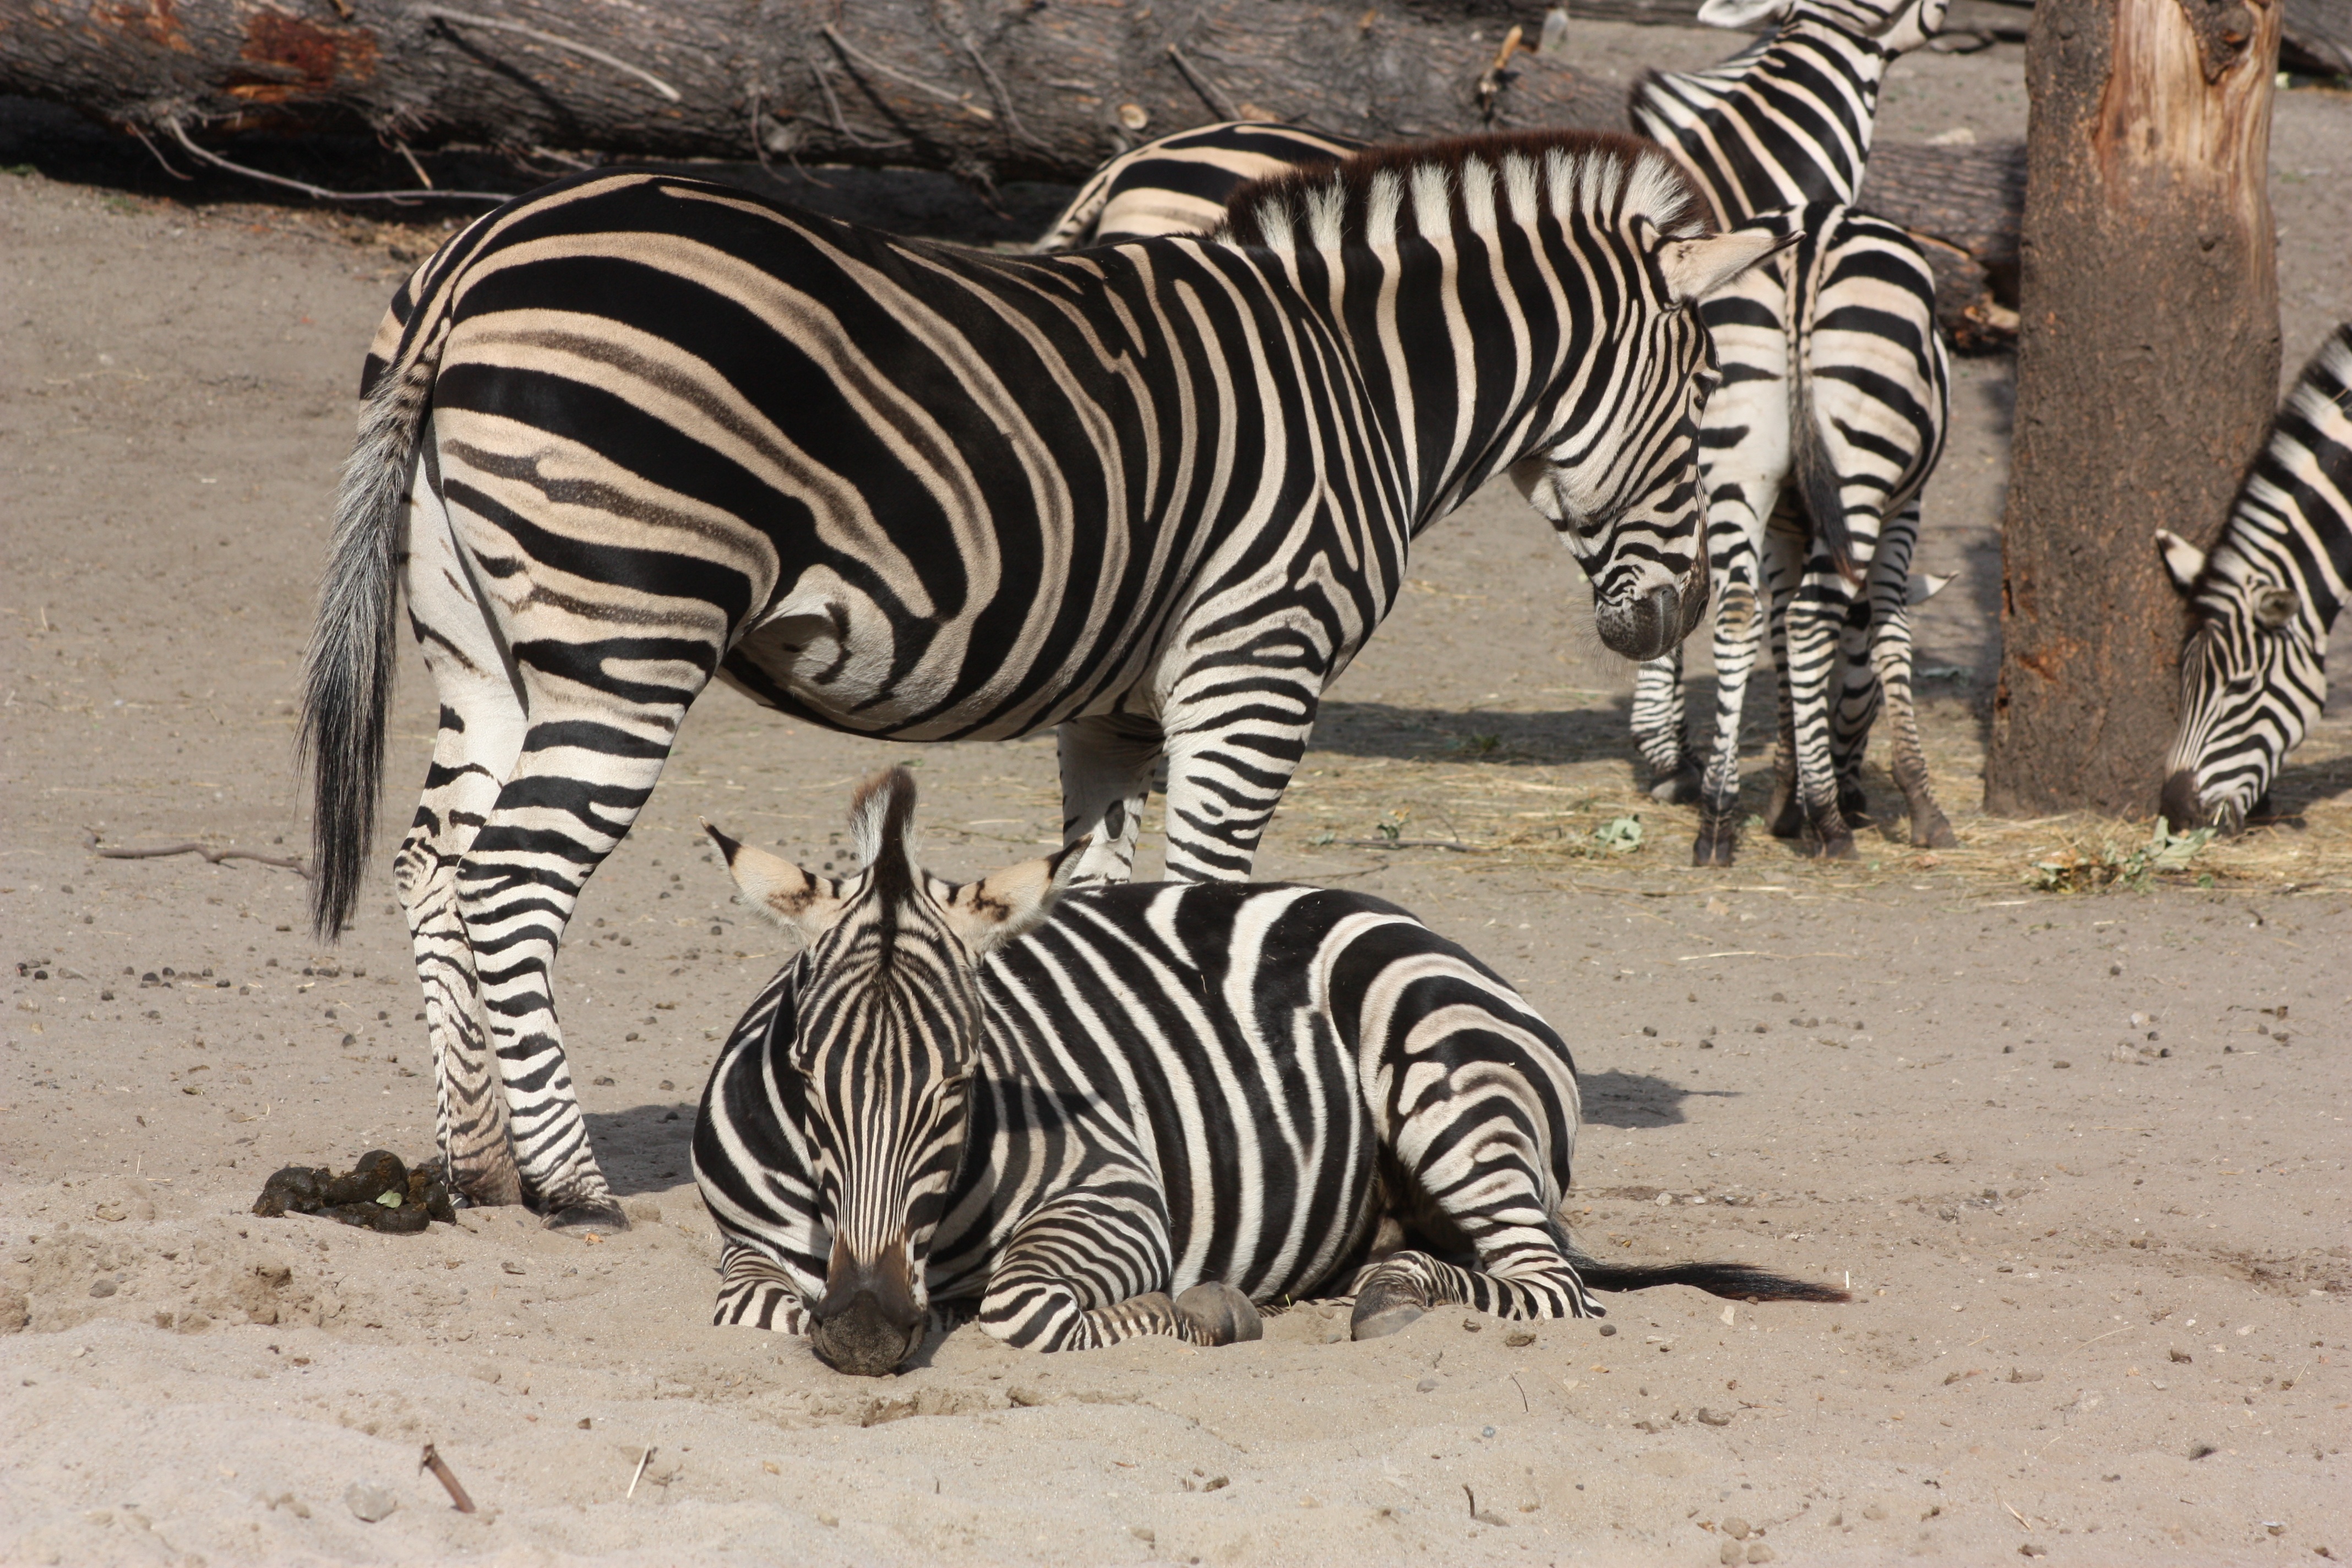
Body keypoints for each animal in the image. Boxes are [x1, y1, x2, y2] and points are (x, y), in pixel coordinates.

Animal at [302, 134, 1777, 1229]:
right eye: (1708, 393)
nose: (1679, 610)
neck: (1361, 378)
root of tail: (478, 252)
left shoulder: (1111, 712)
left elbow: (1108, 910)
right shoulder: (1257, 661)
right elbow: (1215, 899)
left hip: (489, 648)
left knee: (434, 864)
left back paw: (477, 1162)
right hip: (629, 636)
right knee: (509, 879)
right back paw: (570, 1180)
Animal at [695, 768, 1847, 1374]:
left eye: (960, 1082)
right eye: (804, 1073)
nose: (865, 1326)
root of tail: (1415, 924)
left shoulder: (1114, 1194)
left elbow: (1026, 1306)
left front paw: (1203, 1310)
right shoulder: (750, 1242)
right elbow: (755, 1305)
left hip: (1448, 1089)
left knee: (1546, 1284)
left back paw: (1393, 1295)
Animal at [1624, 0, 1956, 861]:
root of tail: (1807, 247)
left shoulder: (1770, 509)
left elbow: (1751, 620)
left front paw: (1763, 786)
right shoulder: (1904, 505)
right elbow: (1884, 625)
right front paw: (1908, 800)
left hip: (1737, 462)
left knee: (1741, 611)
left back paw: (1720, 822)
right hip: (1863, 466)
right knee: (1808, 617)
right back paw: (1829, 821)